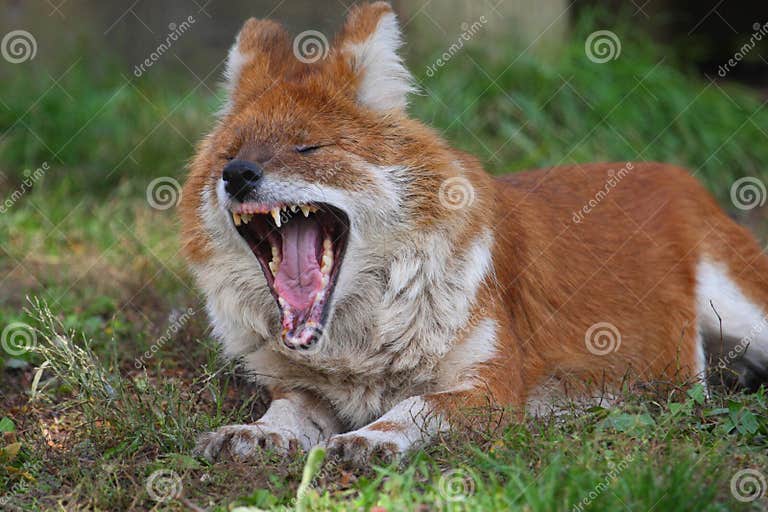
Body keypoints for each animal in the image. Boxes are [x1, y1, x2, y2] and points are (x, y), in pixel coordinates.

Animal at [181, 2, 768, 465]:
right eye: (230, 155)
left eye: (309, 148)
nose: (238, 175)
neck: (361, 340)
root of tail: (676, 173)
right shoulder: (304, 389)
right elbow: (284, 411)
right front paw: (254, 432)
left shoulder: (491, 385)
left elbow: (414, 405)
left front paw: (370, 438)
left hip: (741, 304)